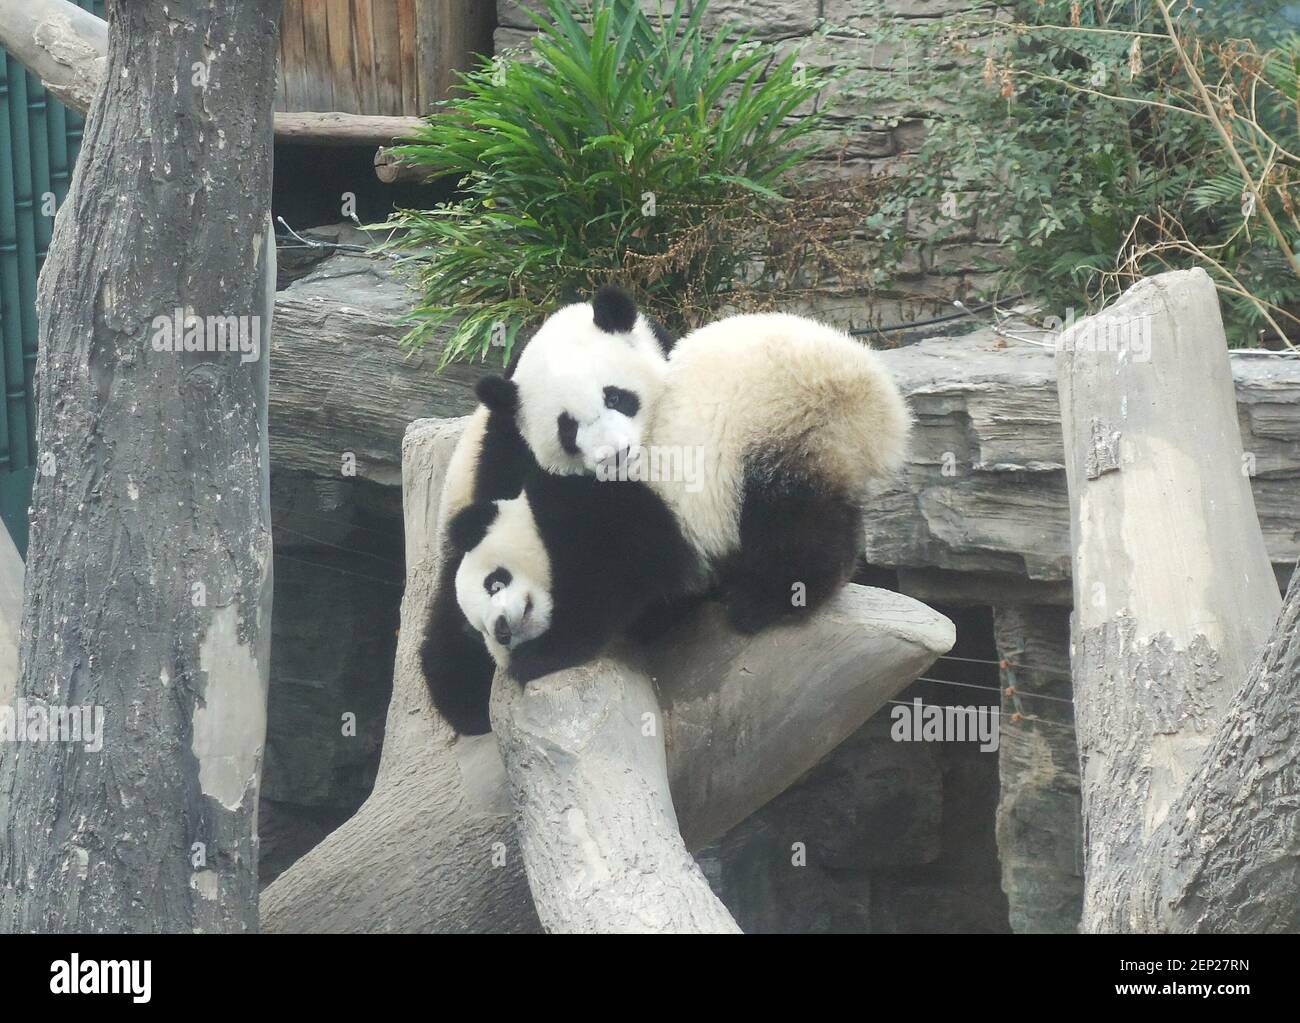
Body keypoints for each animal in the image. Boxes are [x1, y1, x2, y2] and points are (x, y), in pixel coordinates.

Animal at [448, 306, 912, 691]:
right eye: (484, 630)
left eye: (495, 581)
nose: (503, 628)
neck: (533, 521)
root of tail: (879, 405)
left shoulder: (604, 520)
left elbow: (603, 597)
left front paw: (534, 659)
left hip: (784, 428)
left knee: (793, 525)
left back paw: (762, 601)